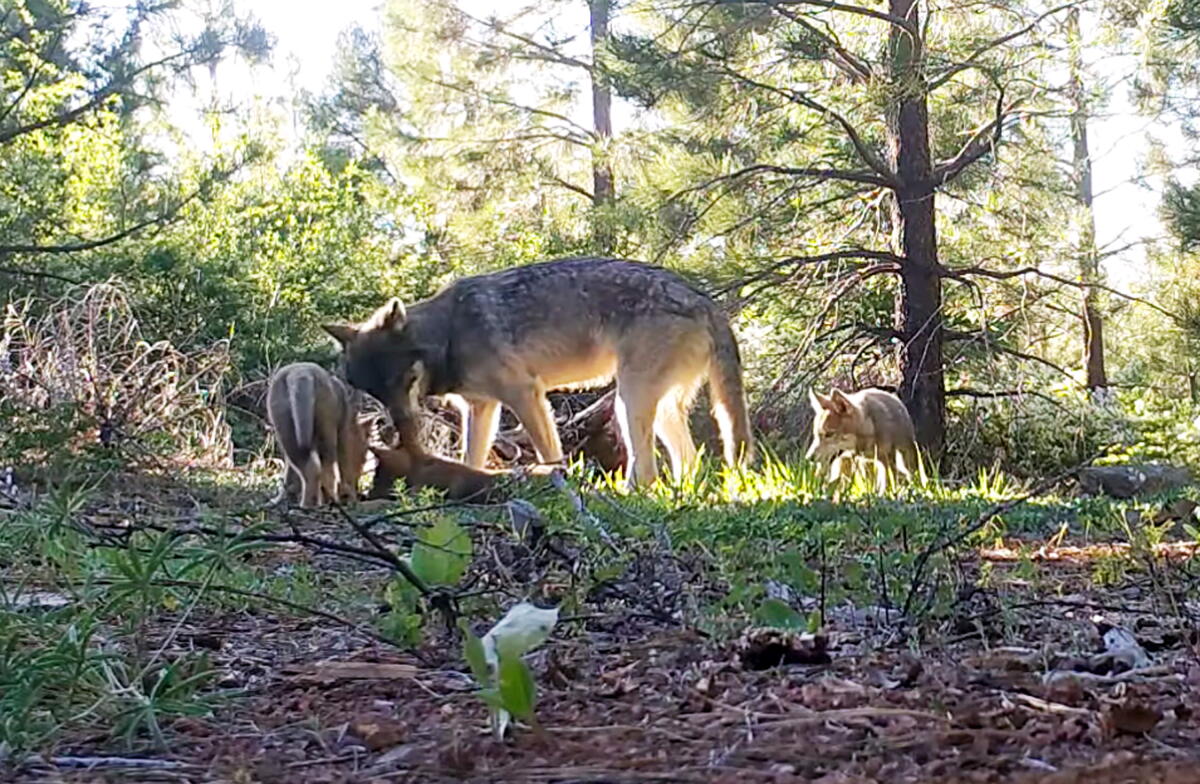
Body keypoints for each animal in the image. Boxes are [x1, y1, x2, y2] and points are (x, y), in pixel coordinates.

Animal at [266, 362, 368, 507]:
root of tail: (301, 374)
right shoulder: (343, 436)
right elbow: (345, 470)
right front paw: (350, 497)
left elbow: (289, 473)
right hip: (325, 429)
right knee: (326, 470)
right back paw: (322, 502)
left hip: (285, 426)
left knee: (309, 468)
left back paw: (305, 503)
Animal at [323, 257, 755, 487]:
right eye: (375, 393)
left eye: (400, 381)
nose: (400, 427)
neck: (449, 333)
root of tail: (705, 300)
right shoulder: (480, 408)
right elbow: (471, 457)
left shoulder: (525, 394)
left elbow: (550, 451)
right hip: (653, 409)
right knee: (690, 462)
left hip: (627, 403)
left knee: (648, 471)